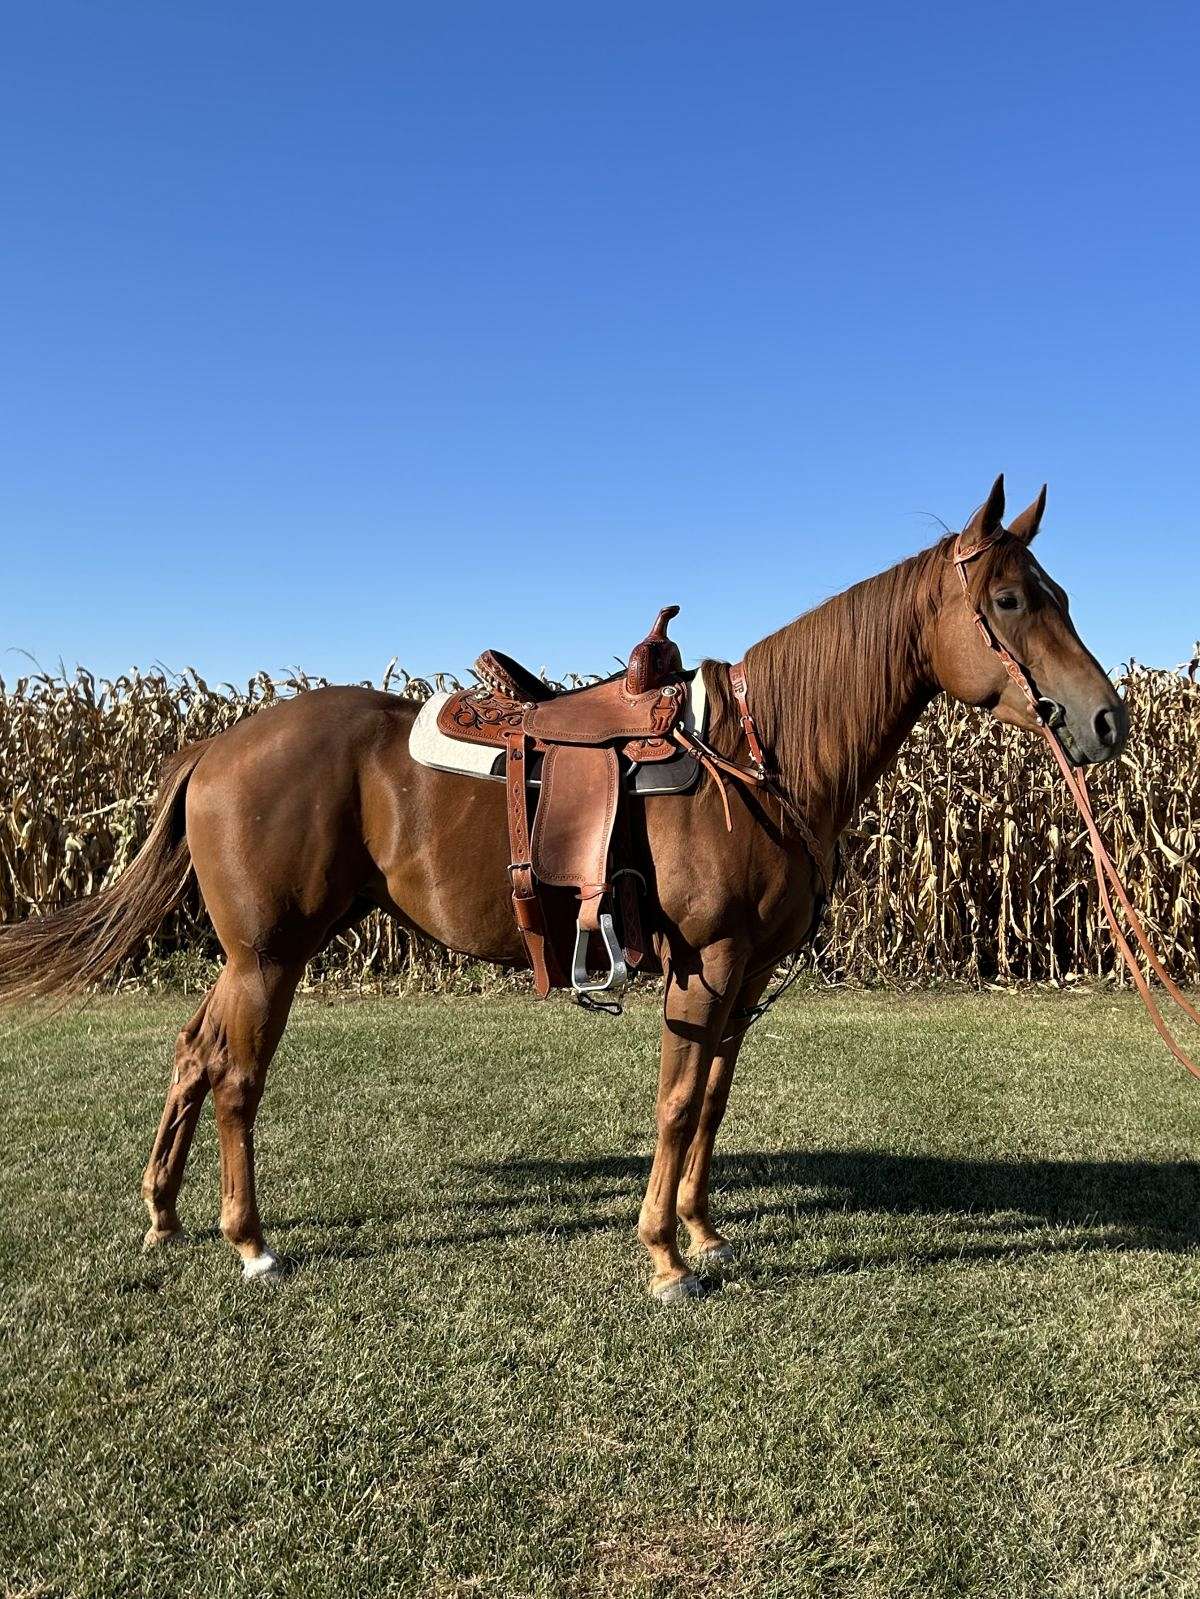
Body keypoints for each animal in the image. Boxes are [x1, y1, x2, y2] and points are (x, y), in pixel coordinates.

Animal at [0, 475, 1127, 1301]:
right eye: (1013, 601)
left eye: (1064, 594)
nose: (1107, 719)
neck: (758, 761)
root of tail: (214, 746)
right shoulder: (707, 964)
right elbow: (677, 1103)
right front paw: (665, 1257)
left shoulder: (745, 974)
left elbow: (715, 1101)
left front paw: (704, 1231)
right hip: (270, 954)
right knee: (236, 1078)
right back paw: (251, 1243)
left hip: (250, 952)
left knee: (194, 1054)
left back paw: (163, 1213)